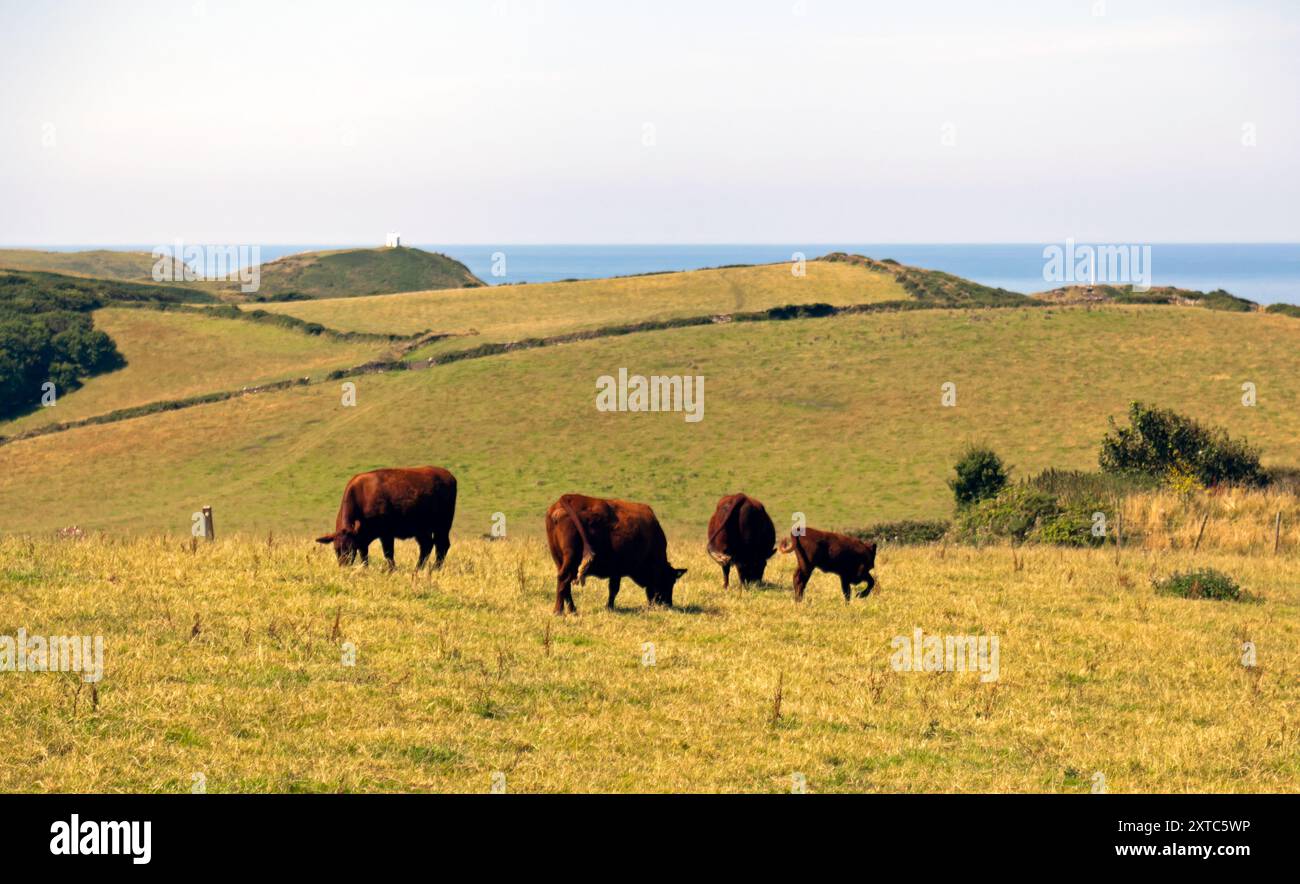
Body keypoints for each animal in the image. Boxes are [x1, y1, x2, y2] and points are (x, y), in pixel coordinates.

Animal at [315, 466, 457, 570]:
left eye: (350, 549)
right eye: (336, 549)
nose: (344, 566)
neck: (361, 496)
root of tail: (449, 476)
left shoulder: (386, 533)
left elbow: (388, 553)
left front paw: (392, 570)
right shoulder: (362, 537)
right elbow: (364, 554)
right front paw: (365, 568)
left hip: (442, 526)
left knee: (441, 545)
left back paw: (435, 568)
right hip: (422, 530)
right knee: (427, 545)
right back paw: (418, 568)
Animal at [545, 493, 687, 615]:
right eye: (670, 581)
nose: (668, 604)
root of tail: (566, 499)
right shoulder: (617, 570)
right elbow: (614, 589)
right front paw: (610, 607)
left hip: (559, 558)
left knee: (565, 583)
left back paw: (572, 610)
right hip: (571, 557)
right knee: (564, 579)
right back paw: (558, 611)